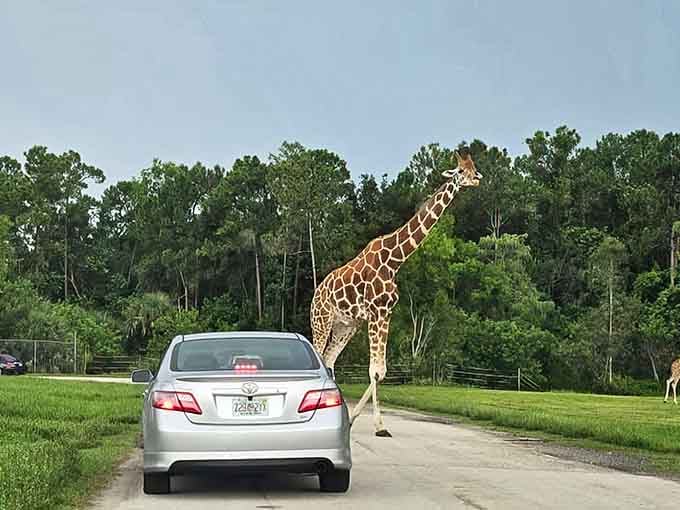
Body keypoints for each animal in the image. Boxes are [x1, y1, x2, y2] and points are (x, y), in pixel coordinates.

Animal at [310, 150, 481, 436]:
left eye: (474, 167)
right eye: (459, 171)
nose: (477, 179)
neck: (395, 260)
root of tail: (316, 293)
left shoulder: (384, 313)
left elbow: (381, 371)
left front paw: (355, 419)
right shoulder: (375, 312)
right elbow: (374, 371)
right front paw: (379, 426)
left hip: (346, 325)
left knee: (329, 359)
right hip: (322, 320)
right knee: (319, 355)